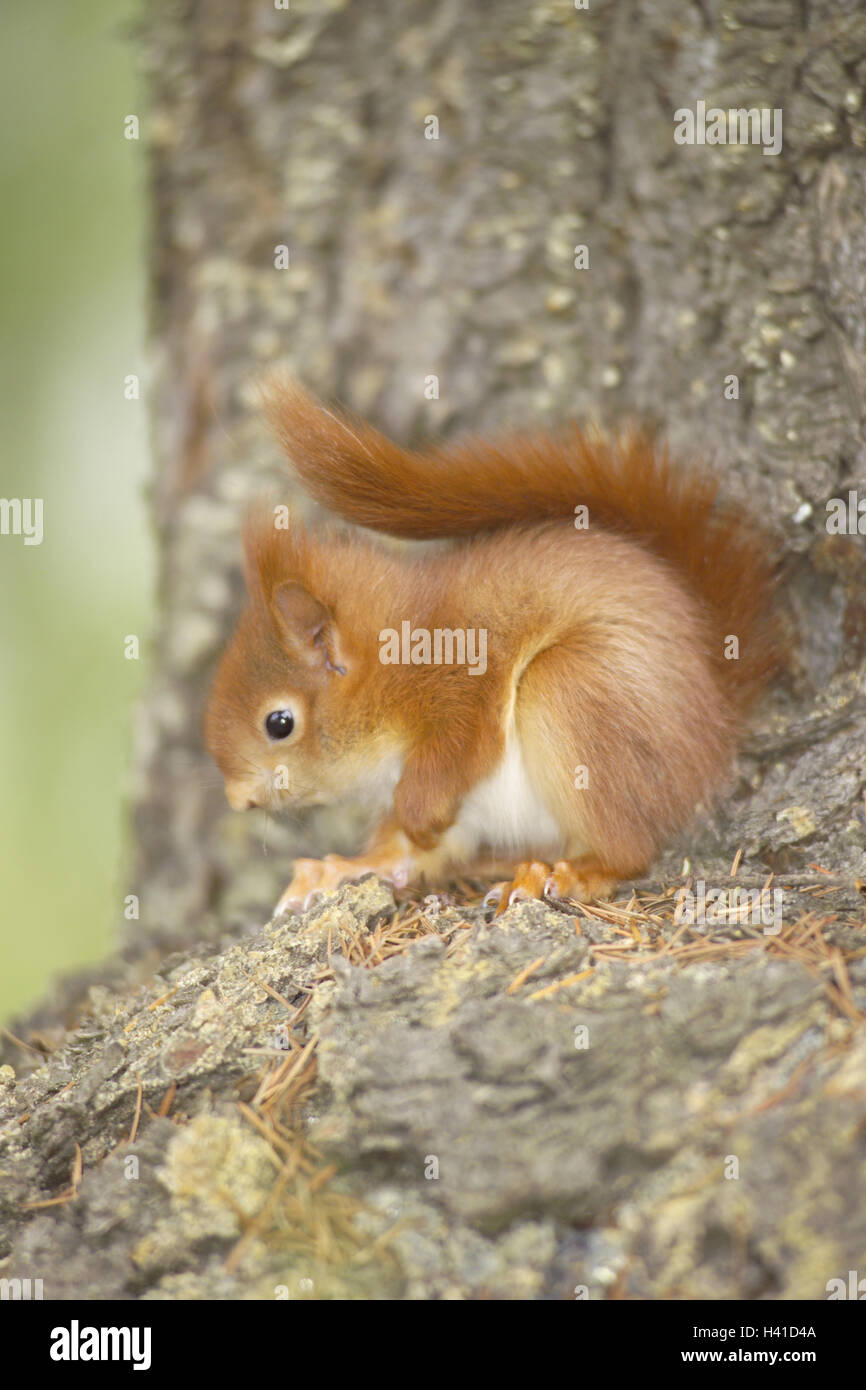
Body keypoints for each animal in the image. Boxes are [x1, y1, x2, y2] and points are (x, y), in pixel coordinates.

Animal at [205, 380, 782, 915]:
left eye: (279, 724)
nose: (235, 799)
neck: (393, 662)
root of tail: (715, 718)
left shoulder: (462, 681)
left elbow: (457, 750)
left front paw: (415, 808)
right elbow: (407, 849)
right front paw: (348, 865)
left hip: (572, 691)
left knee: (628, 851)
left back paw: (569, 875)